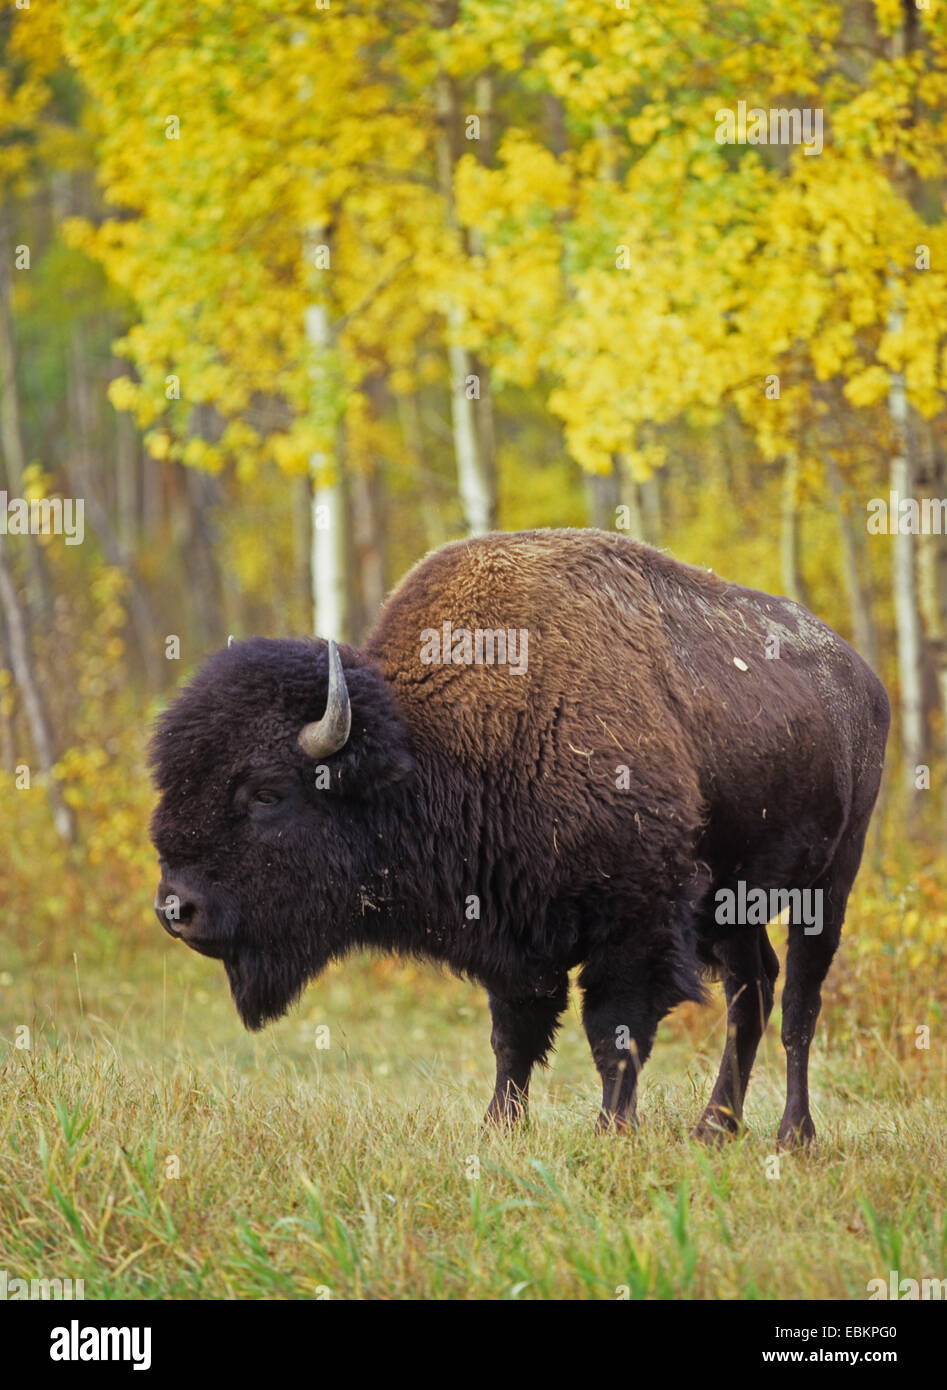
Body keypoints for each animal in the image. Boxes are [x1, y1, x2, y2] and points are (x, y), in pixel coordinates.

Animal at [151, 528, 889, 1144]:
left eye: (265, 794)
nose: (176, 909)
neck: (436, 743)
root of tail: (864, 678)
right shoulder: (512, 933)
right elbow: (516, 1034)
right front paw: (499, 1126)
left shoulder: (636, 923)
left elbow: (614, 1032)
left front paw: (610, 1131)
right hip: (732, 905)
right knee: (751, 990)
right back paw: (715, 1127)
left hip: (830, 883)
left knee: (797, 1002)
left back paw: (793, 1135)